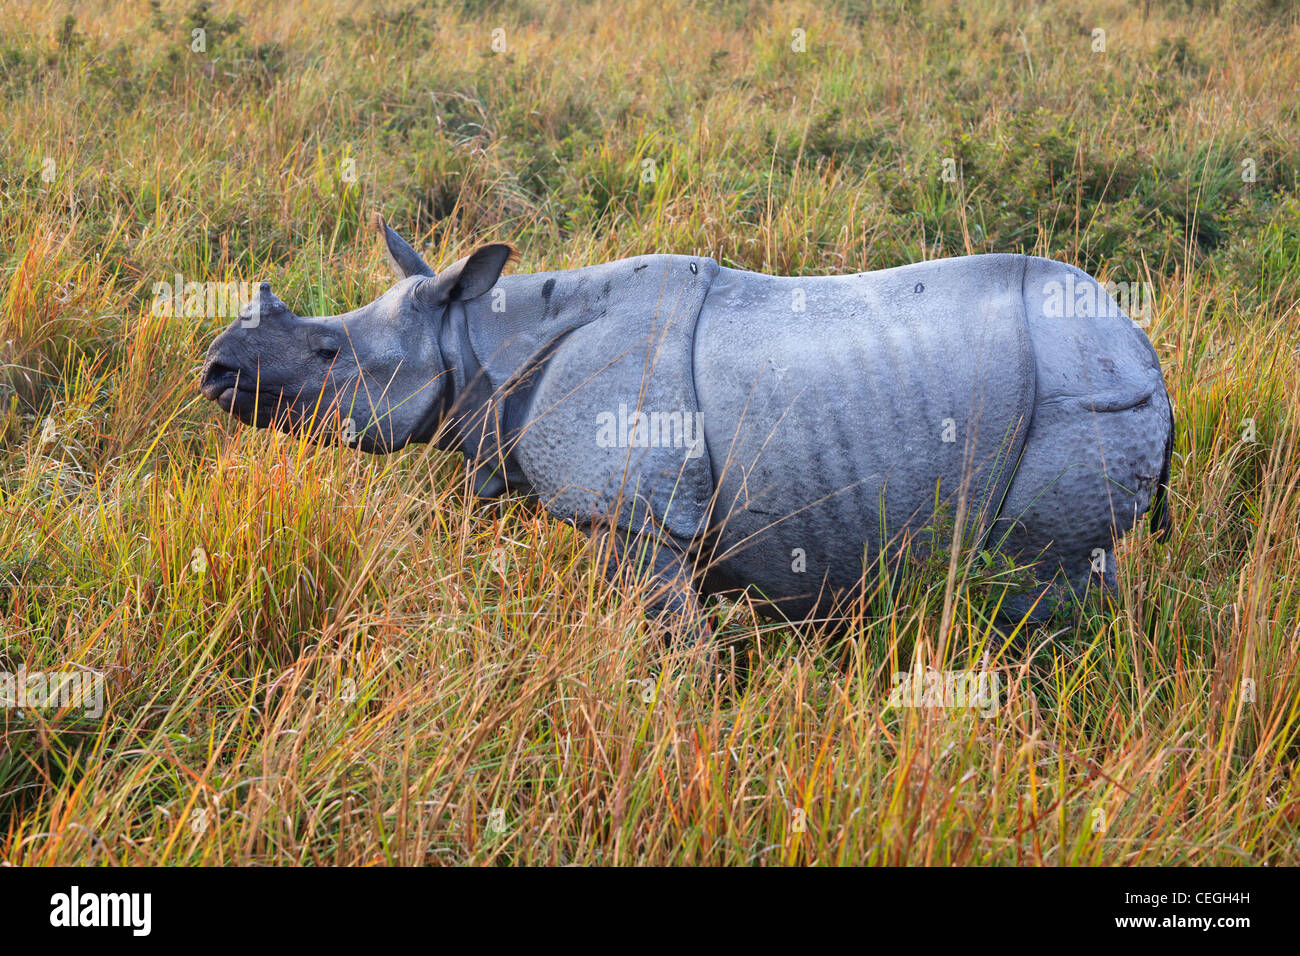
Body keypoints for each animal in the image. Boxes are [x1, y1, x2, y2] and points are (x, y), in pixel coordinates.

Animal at [199, 216, 1174, 639]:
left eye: (328, 353)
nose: (216, 371)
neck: (476, 336)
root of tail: (1143, 346)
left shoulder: (636, 516)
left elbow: (669, 646)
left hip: (1081, 397)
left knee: (1039, 587)